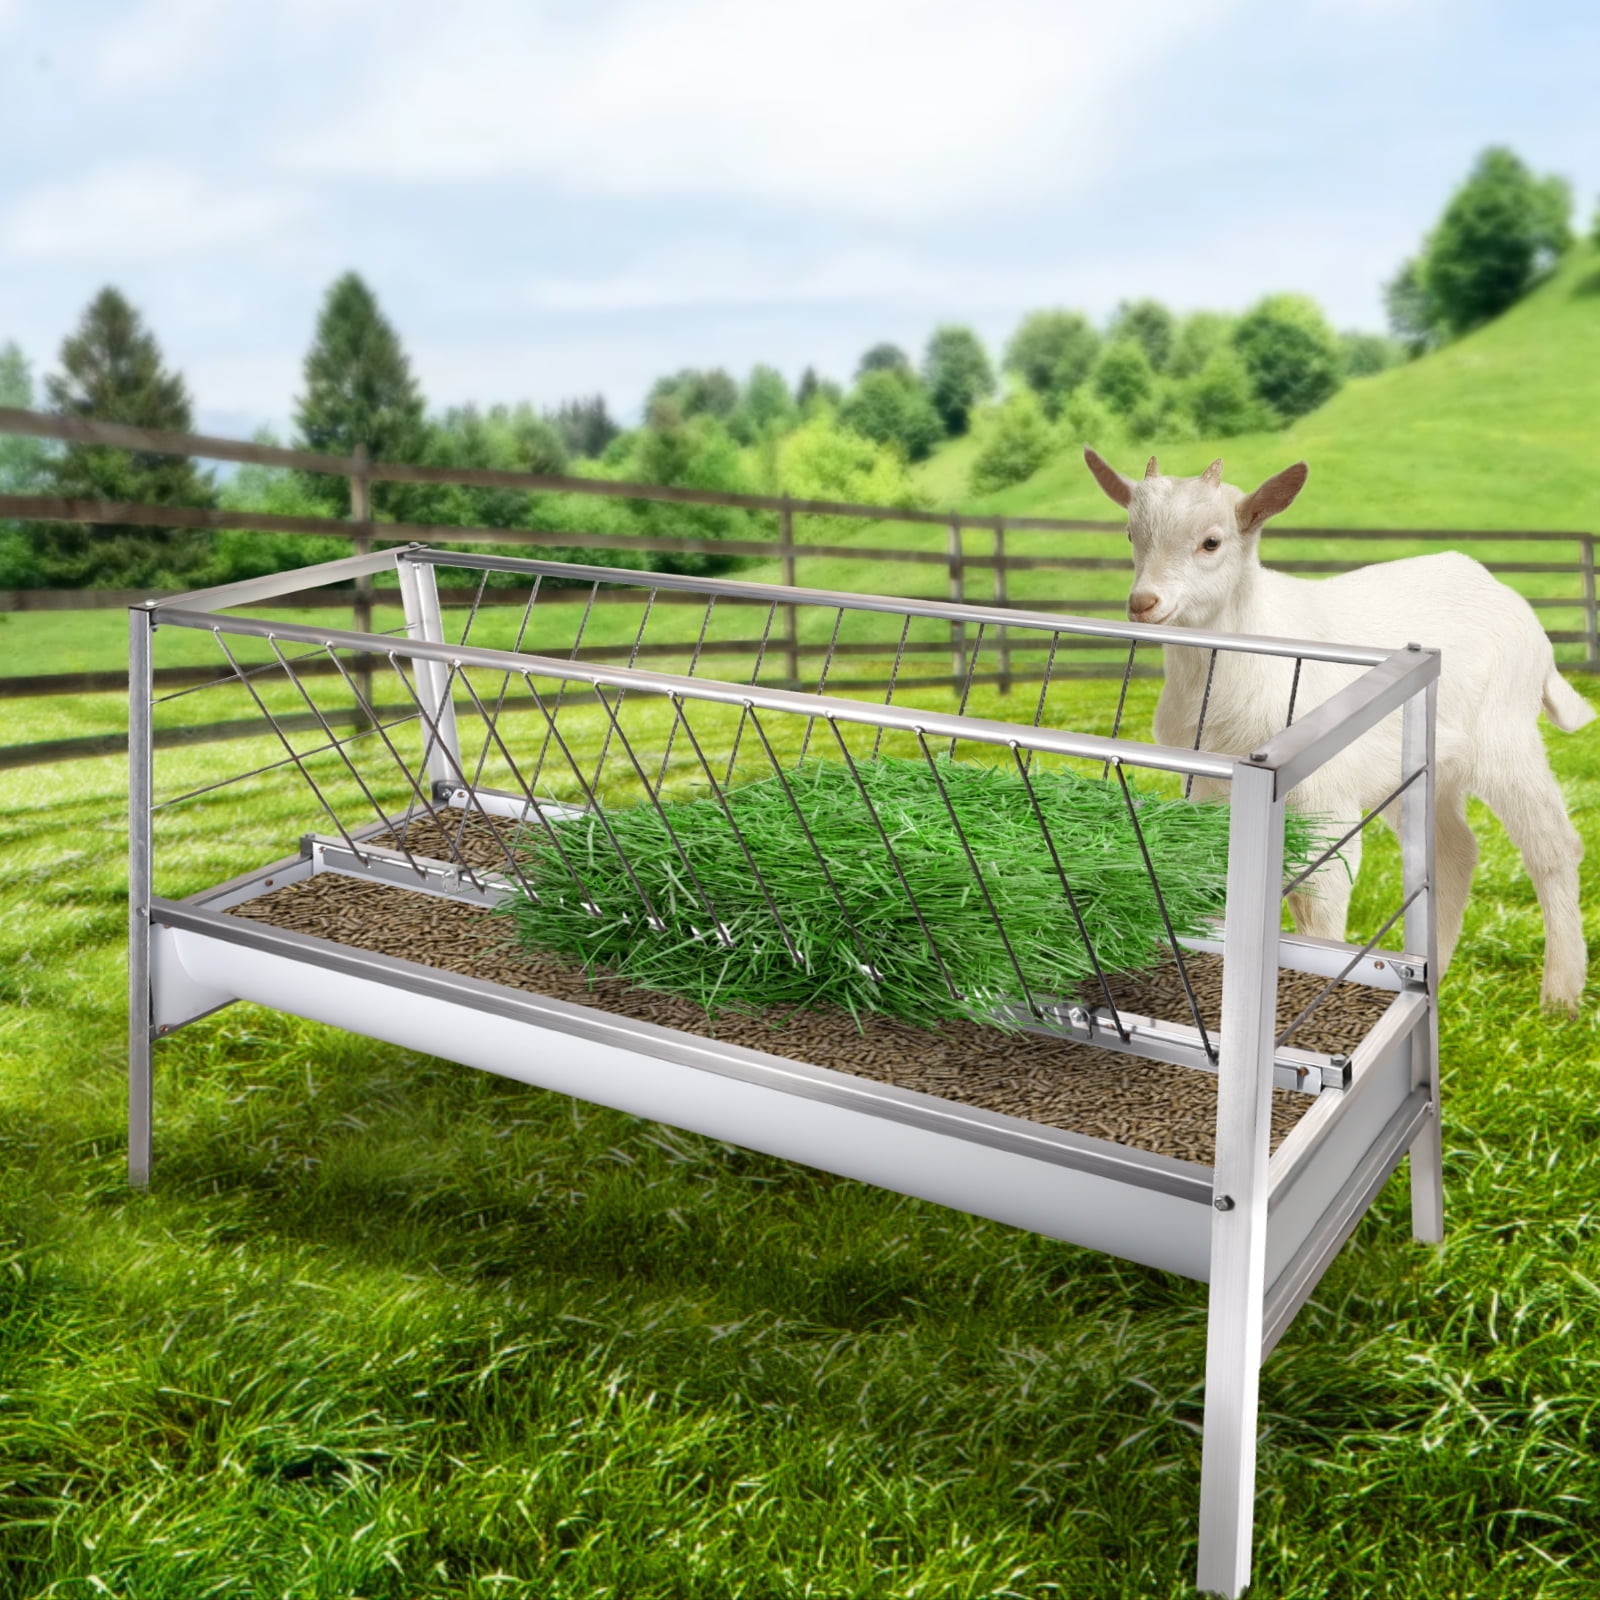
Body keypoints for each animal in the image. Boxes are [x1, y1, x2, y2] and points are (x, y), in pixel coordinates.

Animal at [1082, 447, 1592, 1013]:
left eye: (1211, 541)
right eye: (1131, 534)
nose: (1143, 602)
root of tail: (1510, 598)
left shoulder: (1324, 801)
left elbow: (1318, 904)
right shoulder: (1208, 790)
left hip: (1504, 733)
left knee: (1552, 845)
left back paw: (1561, 996)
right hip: (1418, 770)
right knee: (1454, 851)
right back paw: (1435, 977)